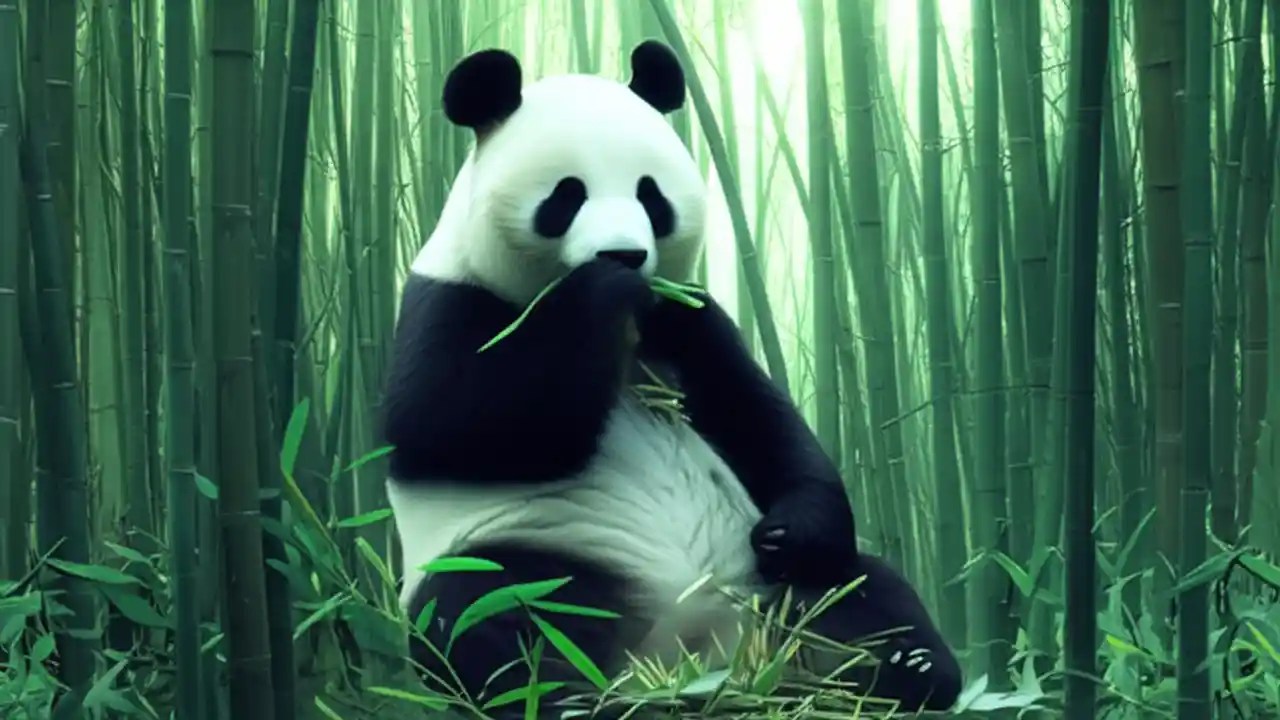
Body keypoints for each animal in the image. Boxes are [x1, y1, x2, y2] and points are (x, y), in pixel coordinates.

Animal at [381, 39, 962, 717]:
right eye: (566, 197)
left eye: (650, 196)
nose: (624, 254)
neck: (630, 328)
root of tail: (694, 663)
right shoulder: (448, 299)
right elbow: (450, 424)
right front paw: (600, 290)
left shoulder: (688, 320)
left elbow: (762, 420)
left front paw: (790, 531)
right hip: (545, 554)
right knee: (483, 615)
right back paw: (564, 697)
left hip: (769, 595)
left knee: (858, 590)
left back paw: (904, 666)